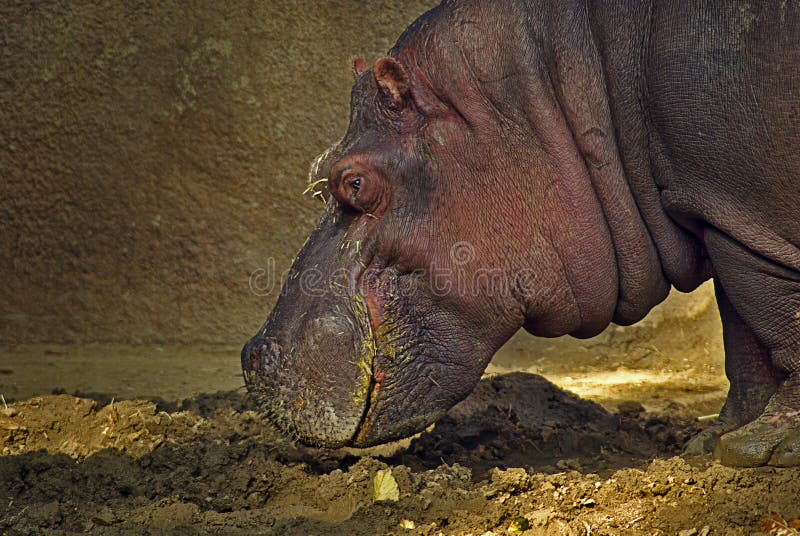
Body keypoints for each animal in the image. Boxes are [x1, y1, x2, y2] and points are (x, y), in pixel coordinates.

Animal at [242, 0, 800, 467]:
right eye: (317, 169)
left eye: (353, 182)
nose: (251, 357)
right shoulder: (721, 215)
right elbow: (743, 340)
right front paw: (711, 444)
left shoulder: (741, 213)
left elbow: (775, 322)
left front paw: (763, 448)